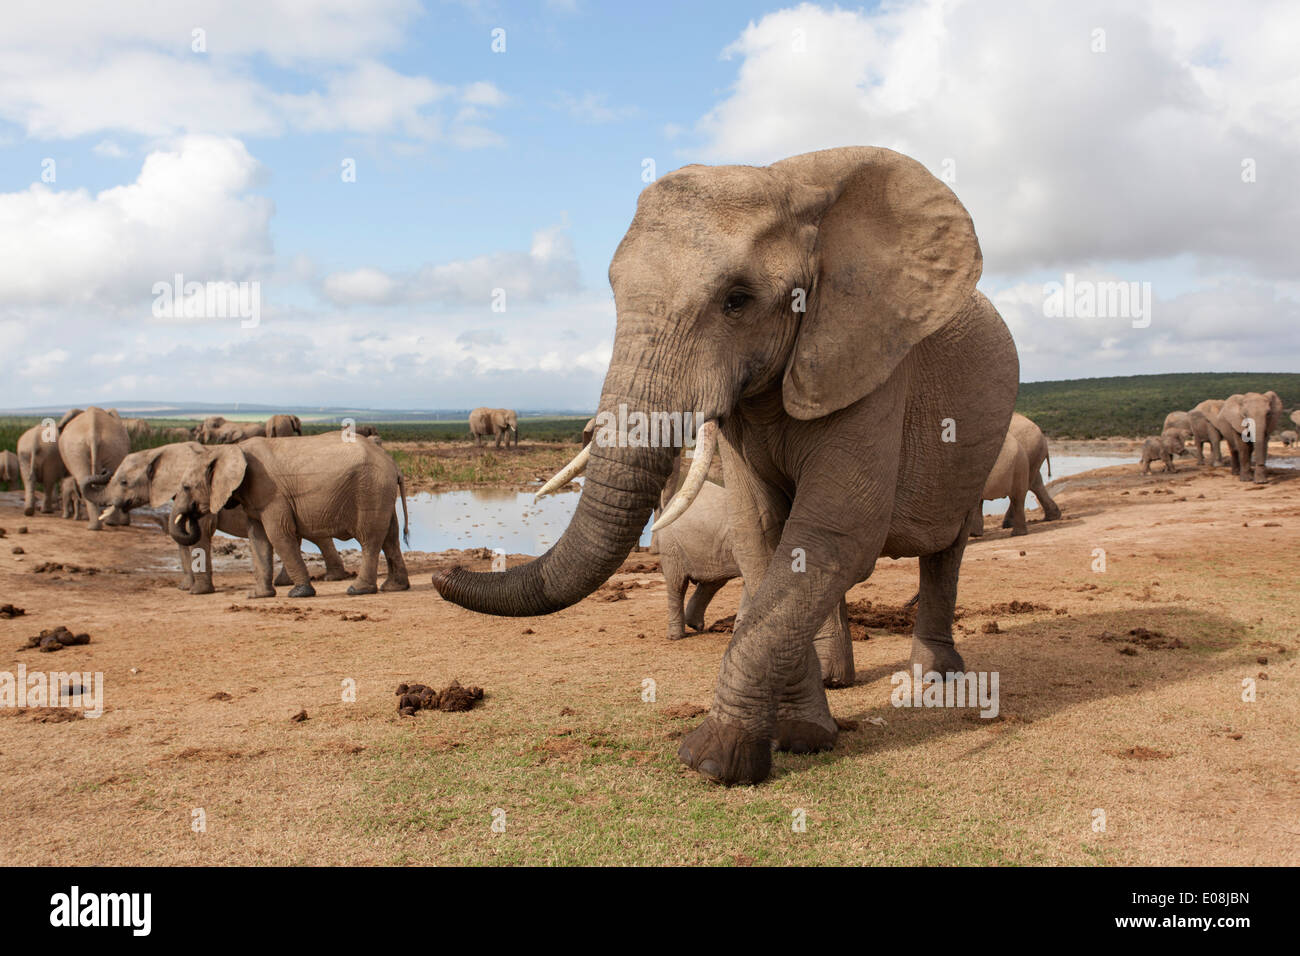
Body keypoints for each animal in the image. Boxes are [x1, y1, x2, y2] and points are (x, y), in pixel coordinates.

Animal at [99, 443, 351, 594]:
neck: (157, 451)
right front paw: (185, 588)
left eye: (124, 482)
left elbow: (200, 535)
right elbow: (183, 539)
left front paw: (197, 592)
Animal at [168, 432, 411, 598]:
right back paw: (394, 587)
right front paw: (258, 596)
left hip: (370, 490)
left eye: (187, 487)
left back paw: (357, 590)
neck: (229, 449)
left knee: (370, 538)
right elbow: (258, 540)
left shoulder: (271, 492)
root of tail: (393, 464)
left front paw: (299, 593)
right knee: (390, 537)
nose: (193, 514)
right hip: (380, 491)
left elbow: (279, 535)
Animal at [433, 146, 1019, 785]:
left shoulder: (871, 360)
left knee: (945, 549)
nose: (445, 574)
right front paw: (802, 737)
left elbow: (836, 534)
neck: (794, 185)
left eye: (737, 300)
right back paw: (841, 679)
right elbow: (763, 534)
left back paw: (934, 681)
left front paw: (713, 759)